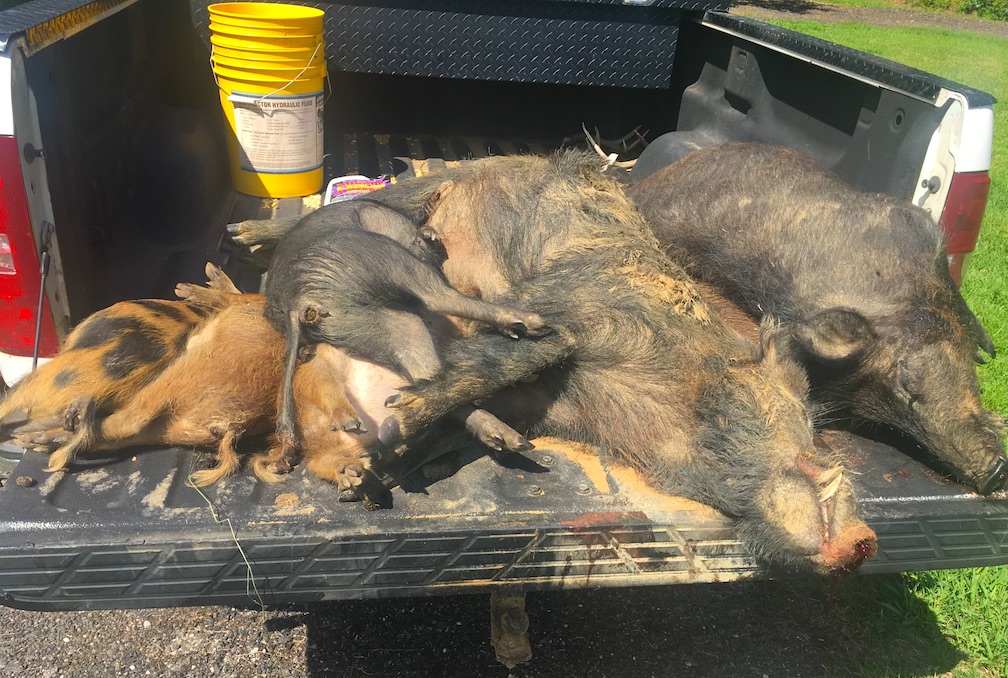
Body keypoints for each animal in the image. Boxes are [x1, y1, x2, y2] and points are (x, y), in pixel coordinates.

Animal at [262, 197, 550, 482]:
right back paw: (531, 325)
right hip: (379, 257)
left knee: (423, 374)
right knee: (439, 298)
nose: (429, 240)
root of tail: (296, 304)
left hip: (361, 326)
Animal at [374, 152, 877, 574]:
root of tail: (471, 167)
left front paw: (376, 472)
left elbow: (466, 420)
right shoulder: (565, 311)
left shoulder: (537, 406)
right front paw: (391, 426)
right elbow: (512, 357)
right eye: (805, 416)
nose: (865, 539)